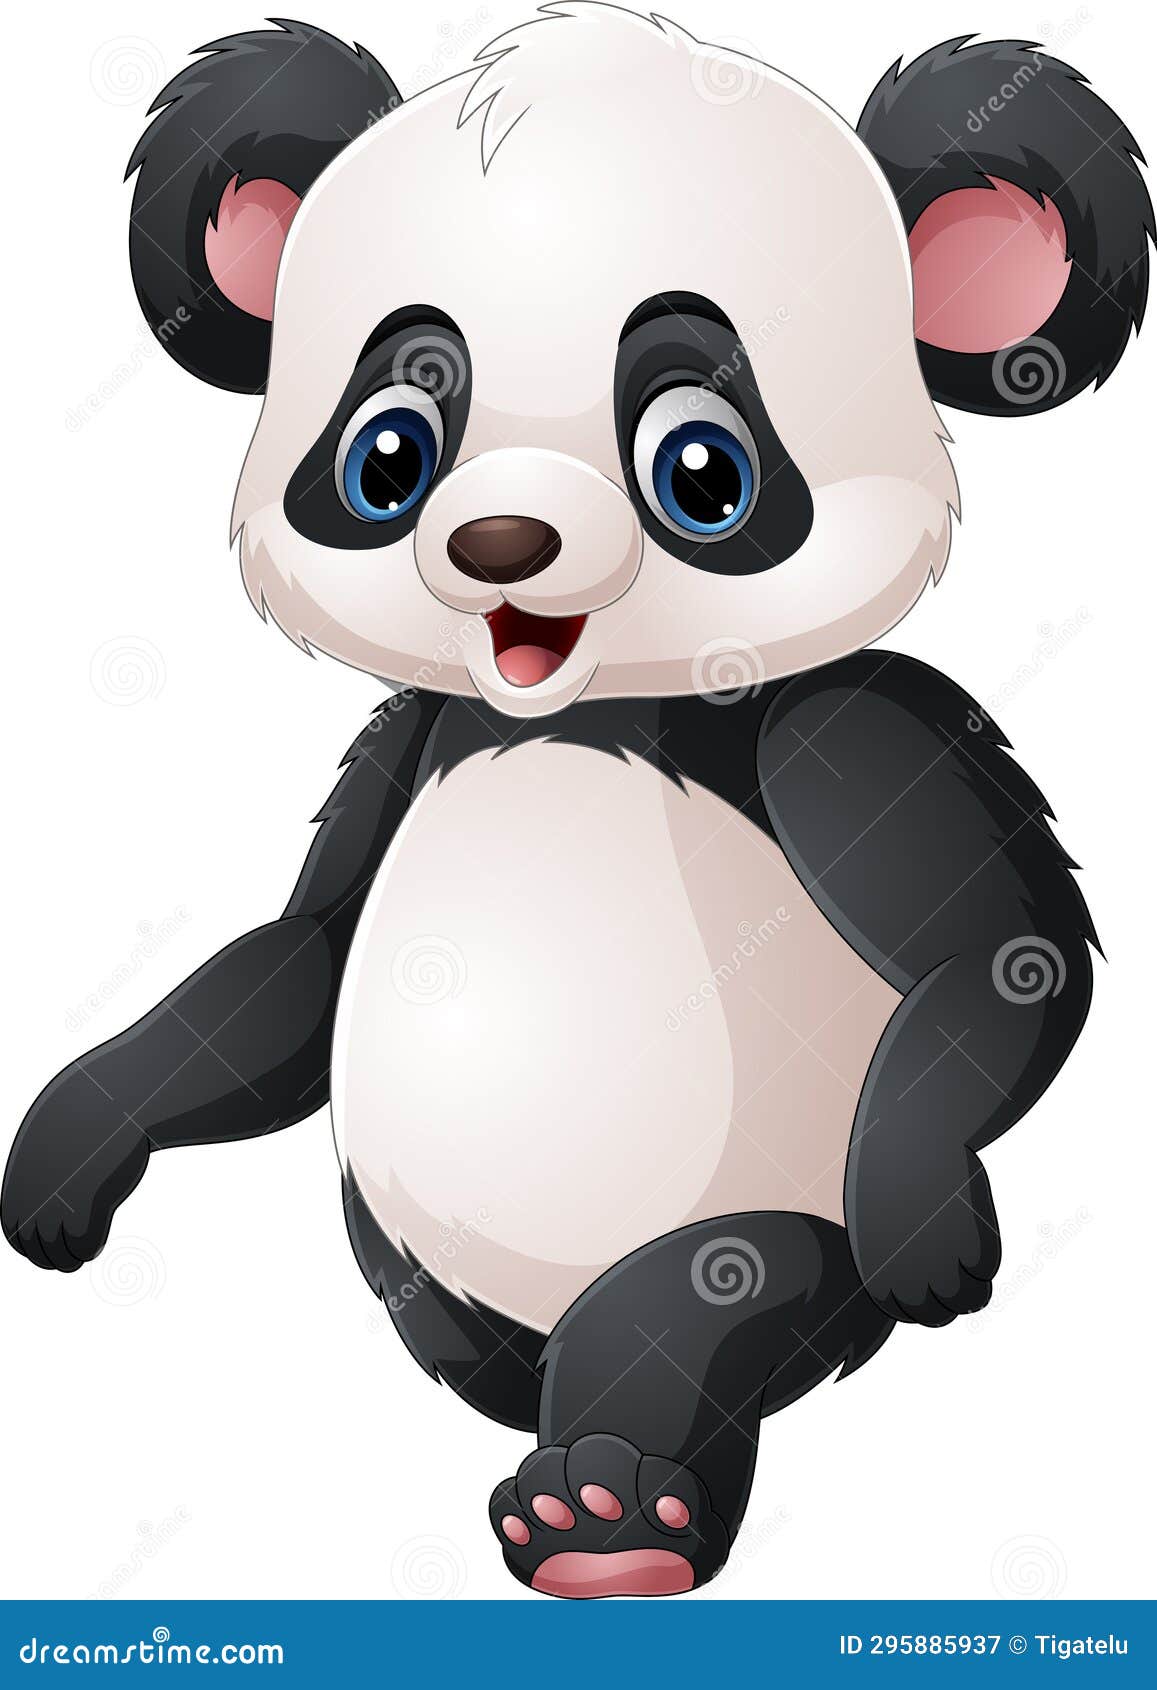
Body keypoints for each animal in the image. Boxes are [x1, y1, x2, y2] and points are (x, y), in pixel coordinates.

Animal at [3, 5, 1151, 1599]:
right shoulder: (406, 738)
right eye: (386, 453)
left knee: (687, 1308)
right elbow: (293, 966)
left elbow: (991, 953)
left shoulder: (846, 735)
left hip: (763, 1235)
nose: (499, 541)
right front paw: (65, 1146)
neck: (579, 712)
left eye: (701, 470)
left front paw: (932, 1219)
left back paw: (604, 1510)